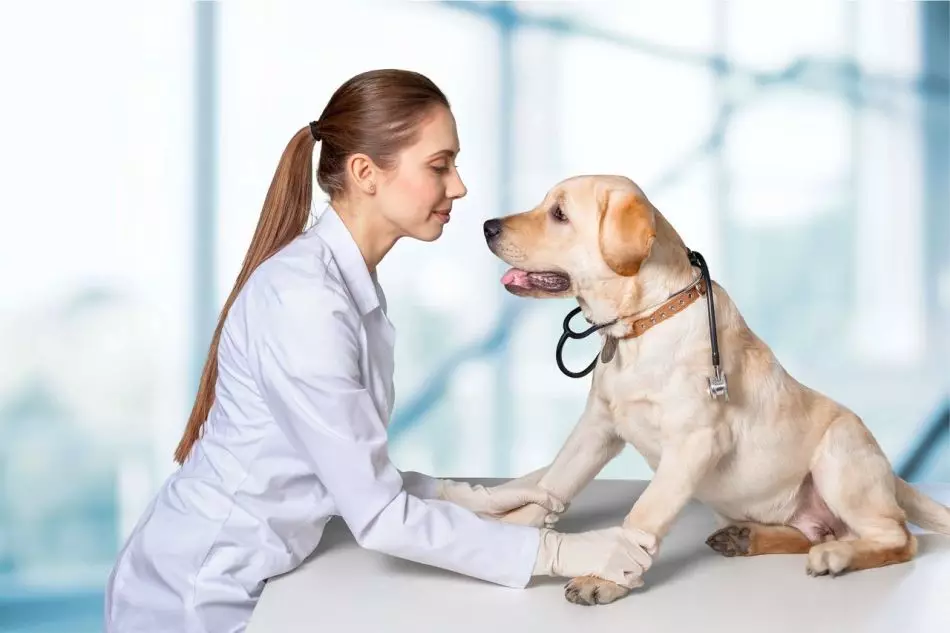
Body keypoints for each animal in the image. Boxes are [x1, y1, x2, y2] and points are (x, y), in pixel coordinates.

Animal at [488, 175, 948, 604]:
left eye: (559, 214)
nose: (487, 226)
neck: (644, 322)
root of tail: (891, 474)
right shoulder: (597, 427)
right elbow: (553, 485)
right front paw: (507, 531)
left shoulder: (693, 443)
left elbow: (644, 513)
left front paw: (606, 577)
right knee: (818, 533)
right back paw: (748, 537)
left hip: (839, 455)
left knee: (897, 538)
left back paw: (836, 555)